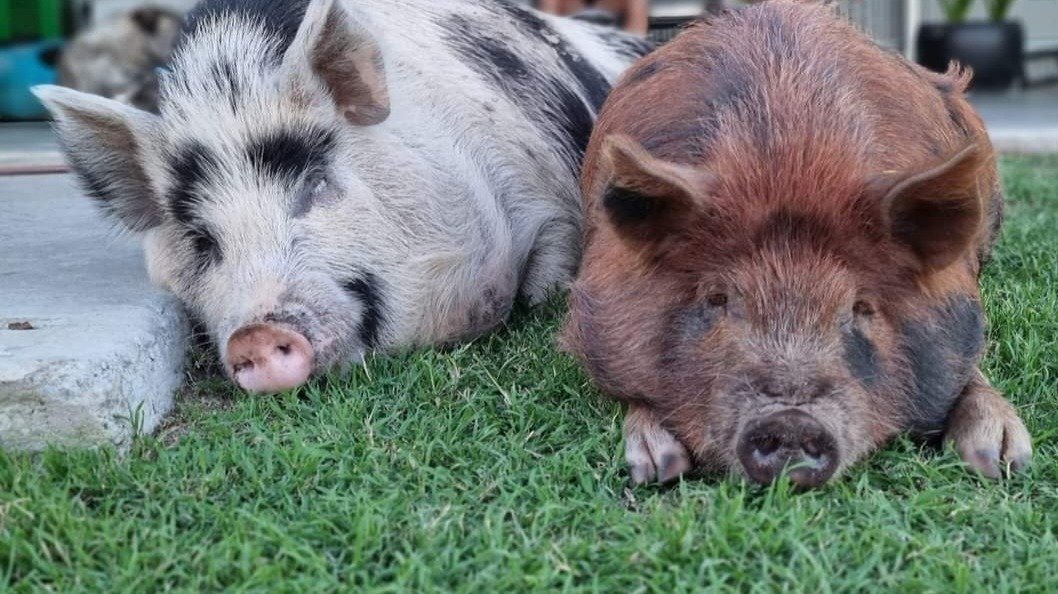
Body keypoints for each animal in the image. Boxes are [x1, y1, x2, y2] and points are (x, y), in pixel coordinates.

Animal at [563, 0, 1032, 488]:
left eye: (861, 307)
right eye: (717, 298)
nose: (790, 422)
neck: (790, 162)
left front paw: (1001, 460)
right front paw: (657, 467)